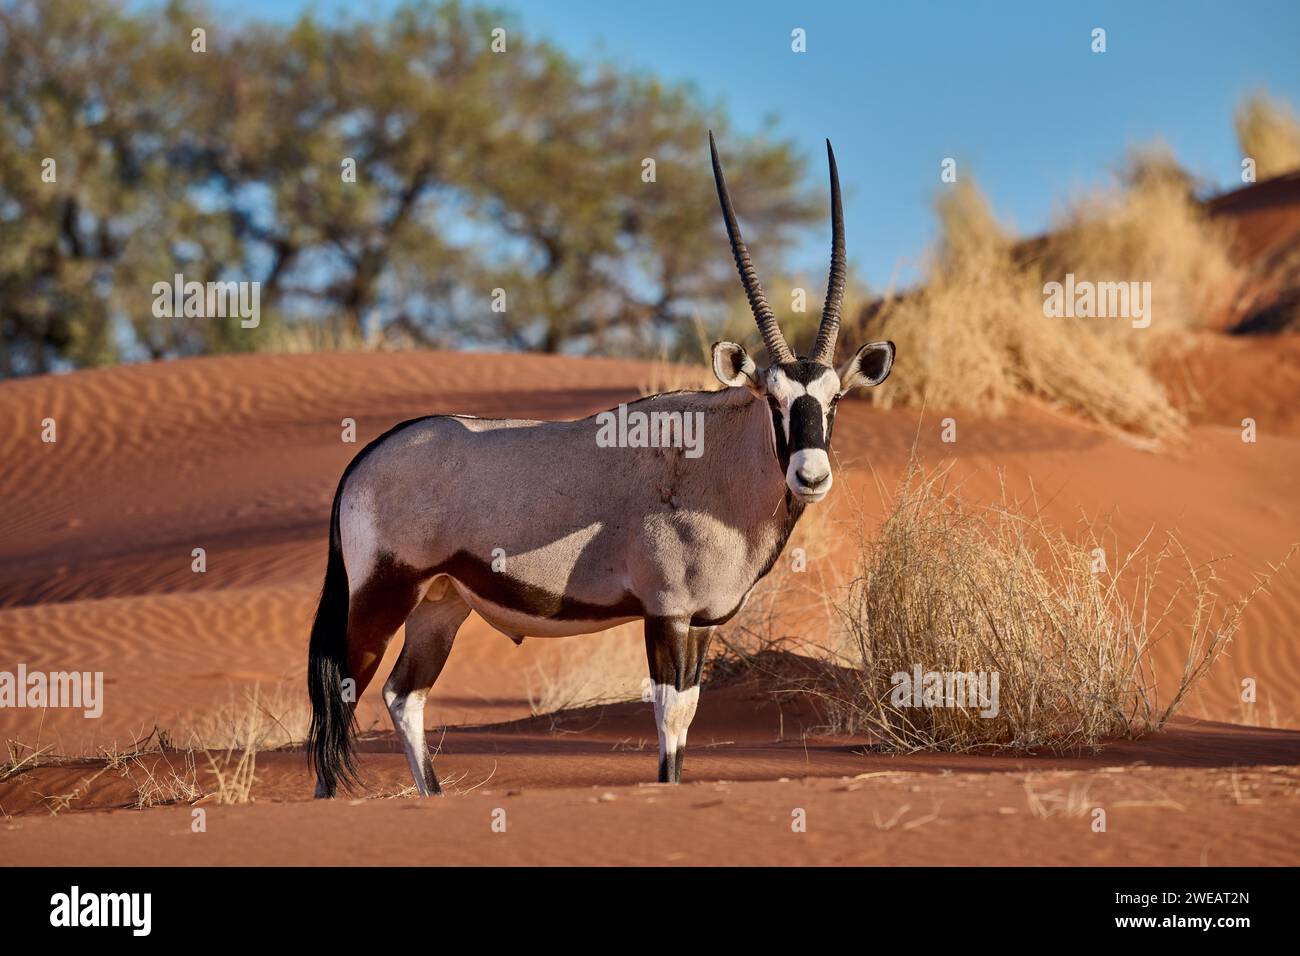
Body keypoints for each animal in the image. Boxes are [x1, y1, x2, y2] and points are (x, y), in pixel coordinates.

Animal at [306, 134, 895, 797]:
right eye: (773, 400)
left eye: (834, 400)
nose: (810, 476)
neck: (714, 461)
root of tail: (365, 459)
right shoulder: (666, 613)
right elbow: (668, 713)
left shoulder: (703, 621)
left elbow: (689, 713)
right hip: (381, 597)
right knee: (342, 695)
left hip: (440, 605)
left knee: (404, 694)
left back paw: (431, 796)